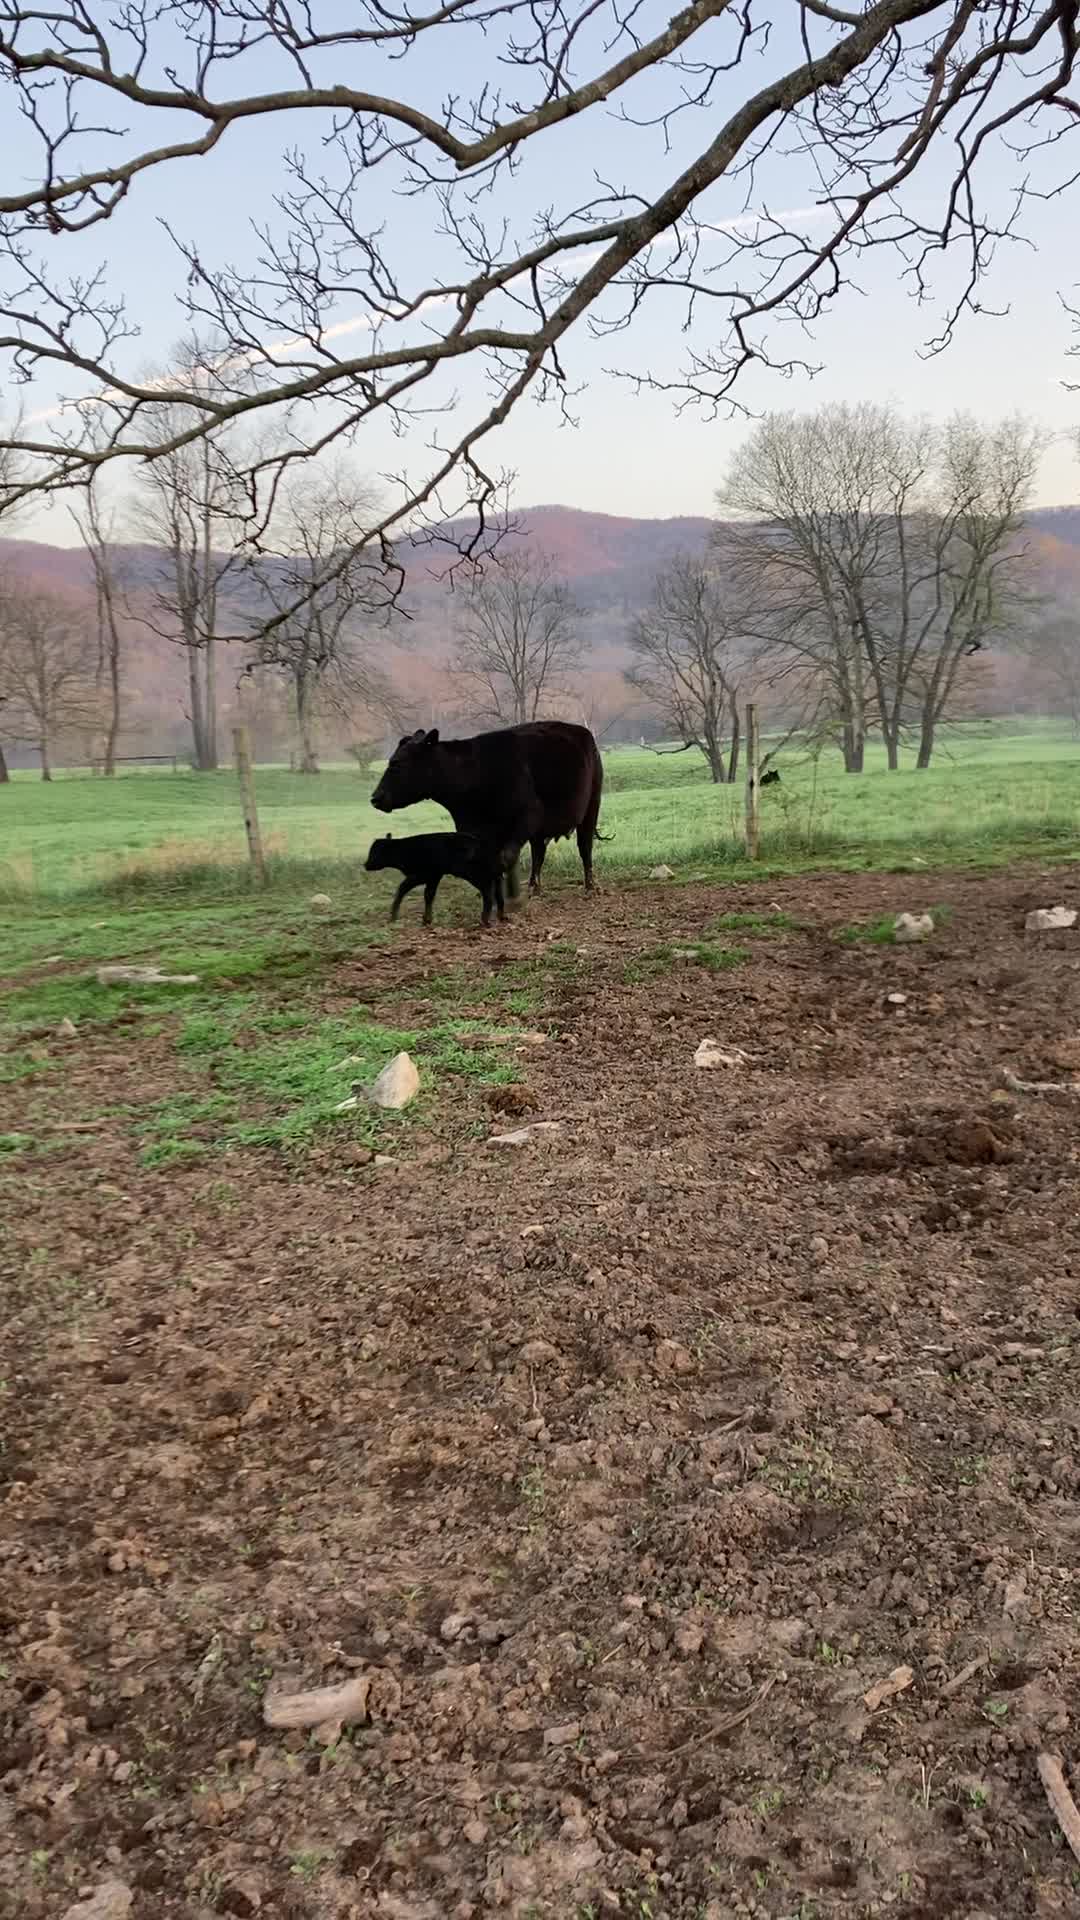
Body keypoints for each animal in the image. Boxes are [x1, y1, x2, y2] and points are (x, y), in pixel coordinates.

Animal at [365, 831, 520, 927]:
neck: (405, 850)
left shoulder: (423, 874)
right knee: (499, 896)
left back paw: (485, 921)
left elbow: (404, 888)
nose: (366, 865)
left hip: (478, 876)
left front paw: (394, 916)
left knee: (488, 895)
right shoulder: (433, 876)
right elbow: (428, 894)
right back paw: (501, 917)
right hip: (496, 876)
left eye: (376, 852)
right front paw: (427, 920)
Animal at [370, 720, 605, 898]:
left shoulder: (526, 818)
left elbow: (505, 858)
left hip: (591, 807)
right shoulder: (476, 830)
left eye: (397, 763)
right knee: (539, 852)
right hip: (542, 830)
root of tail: (582, 732)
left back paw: (590, 886)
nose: (375, 798)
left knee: (584, 847)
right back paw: (534, 888)